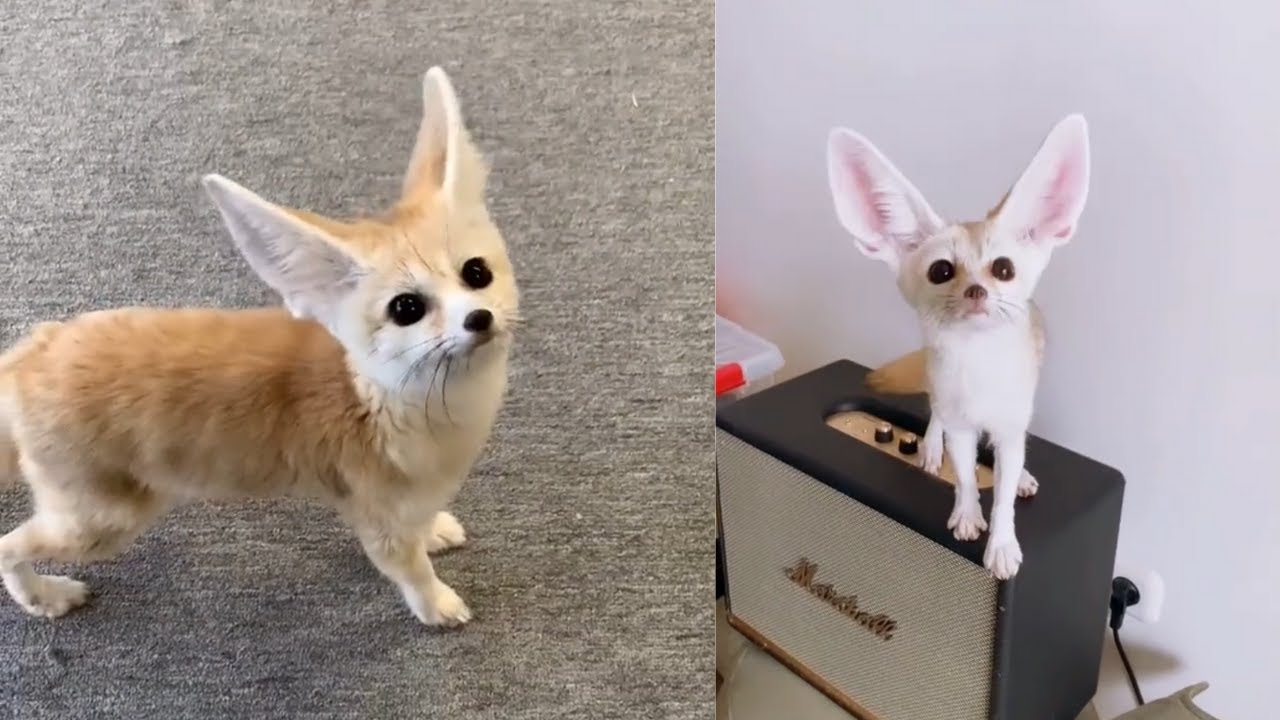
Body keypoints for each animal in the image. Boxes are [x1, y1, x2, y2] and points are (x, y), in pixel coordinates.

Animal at [0, 65, 519, 626]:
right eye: (406, 309)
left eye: (476, 274)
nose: (479, 318)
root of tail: (29, 353)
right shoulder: (379, 520)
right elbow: (412, 571)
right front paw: (438, 606)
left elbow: (422, 525)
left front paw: (435, 529)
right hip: (104, 521)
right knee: (6, 545)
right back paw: (44, 596)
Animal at [826, 115, 1090, 579]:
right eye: (941, 271)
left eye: (1003, 269)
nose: (977, 291)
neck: (978, 365)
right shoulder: (962, 426)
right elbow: (966, 476)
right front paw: (967, 515)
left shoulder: (1009, 428)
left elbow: (1003, 495)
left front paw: (1002, 543)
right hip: (939, 390)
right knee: (935, 415)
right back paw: (932, 446)